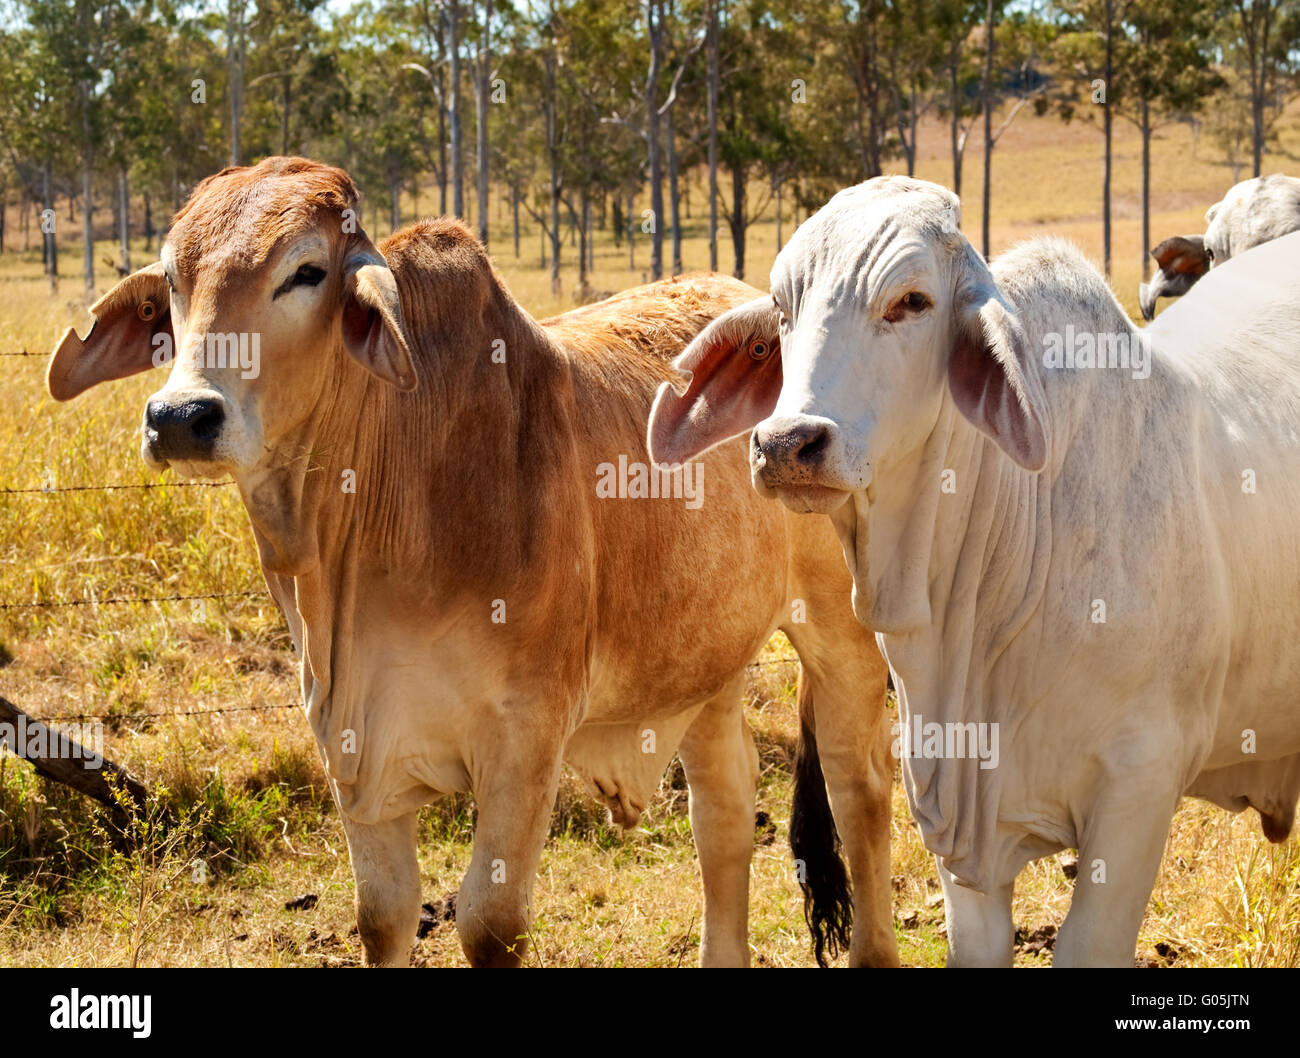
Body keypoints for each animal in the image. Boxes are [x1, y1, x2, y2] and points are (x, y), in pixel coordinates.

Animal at [45, 157, 896, 968]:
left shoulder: (525, 744)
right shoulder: (354, 752)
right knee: (723, 811)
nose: (180, 416)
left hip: (842, 634)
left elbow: (490, 925)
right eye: (173, 279)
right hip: (701, 665)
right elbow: (383, 917)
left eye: (306, 271)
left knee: (859, 794)